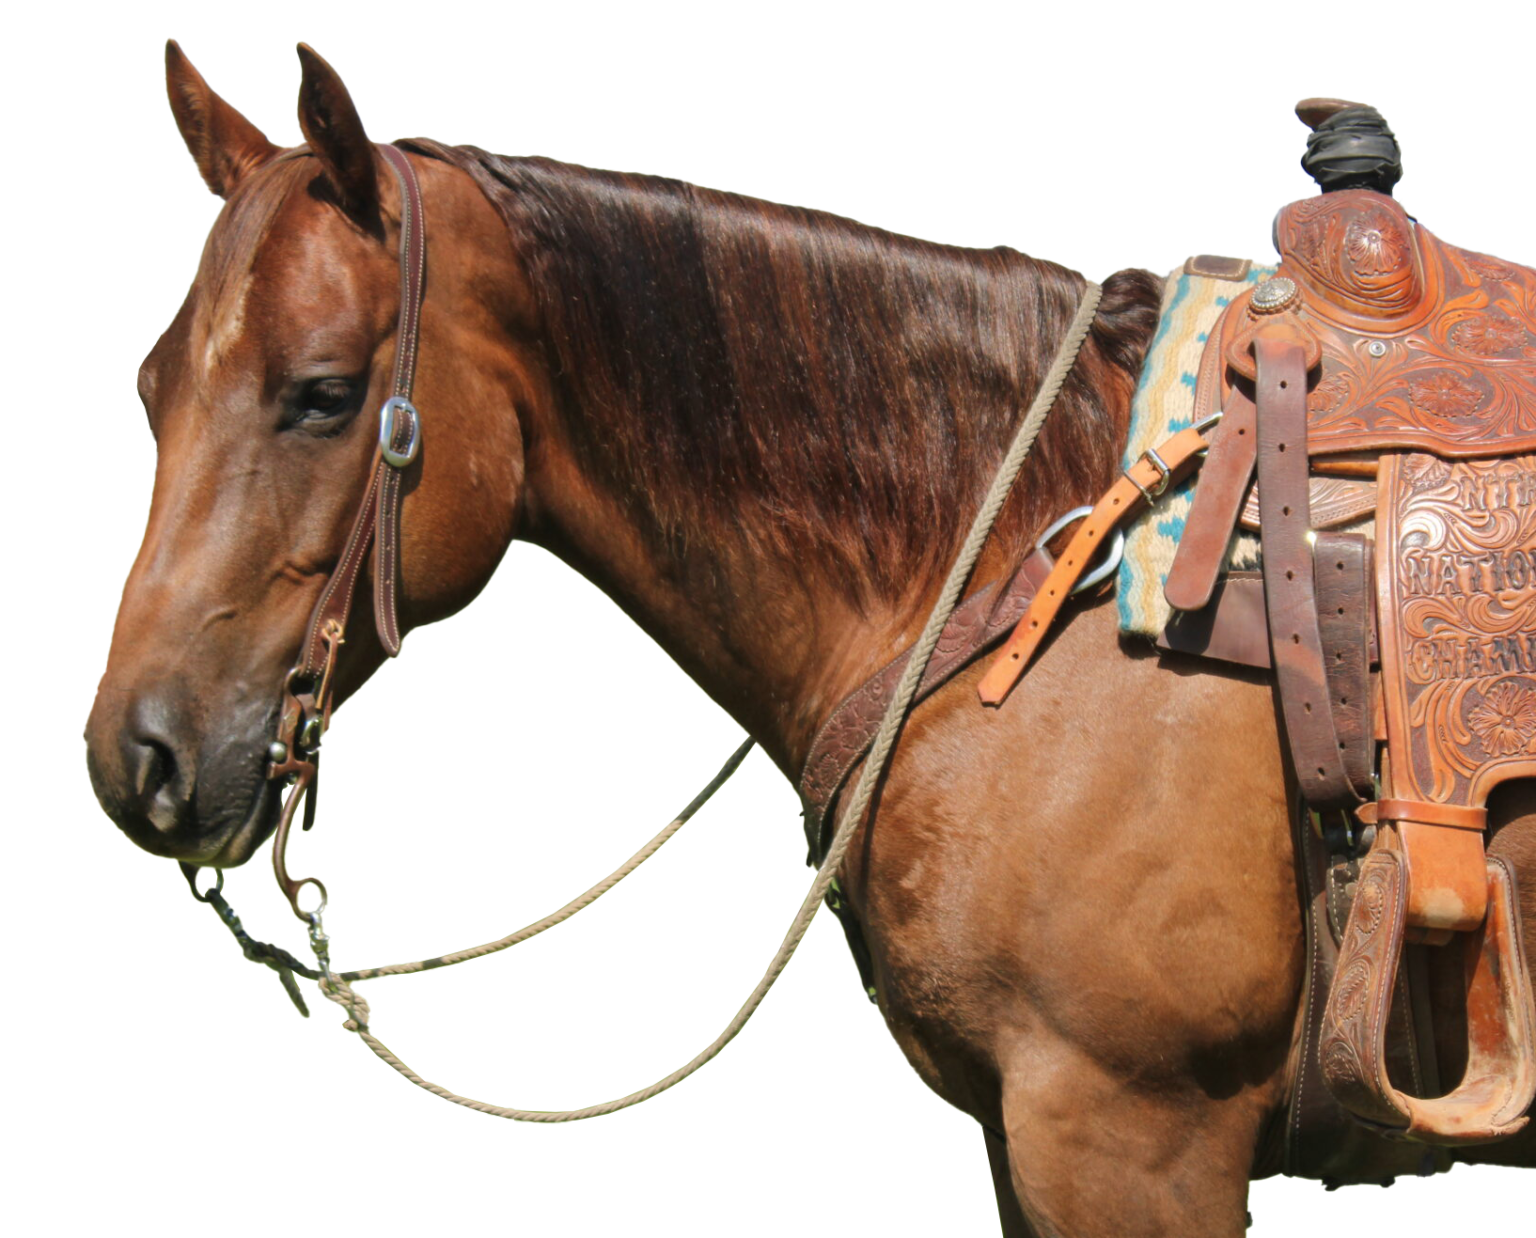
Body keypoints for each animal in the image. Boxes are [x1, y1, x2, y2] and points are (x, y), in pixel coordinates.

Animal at [82, 41, 1532, 1233]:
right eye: (154, 386)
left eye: (324, 394)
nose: (135, 754)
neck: (1025, 563)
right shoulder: (1036, 1141)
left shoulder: (1128, 1134)